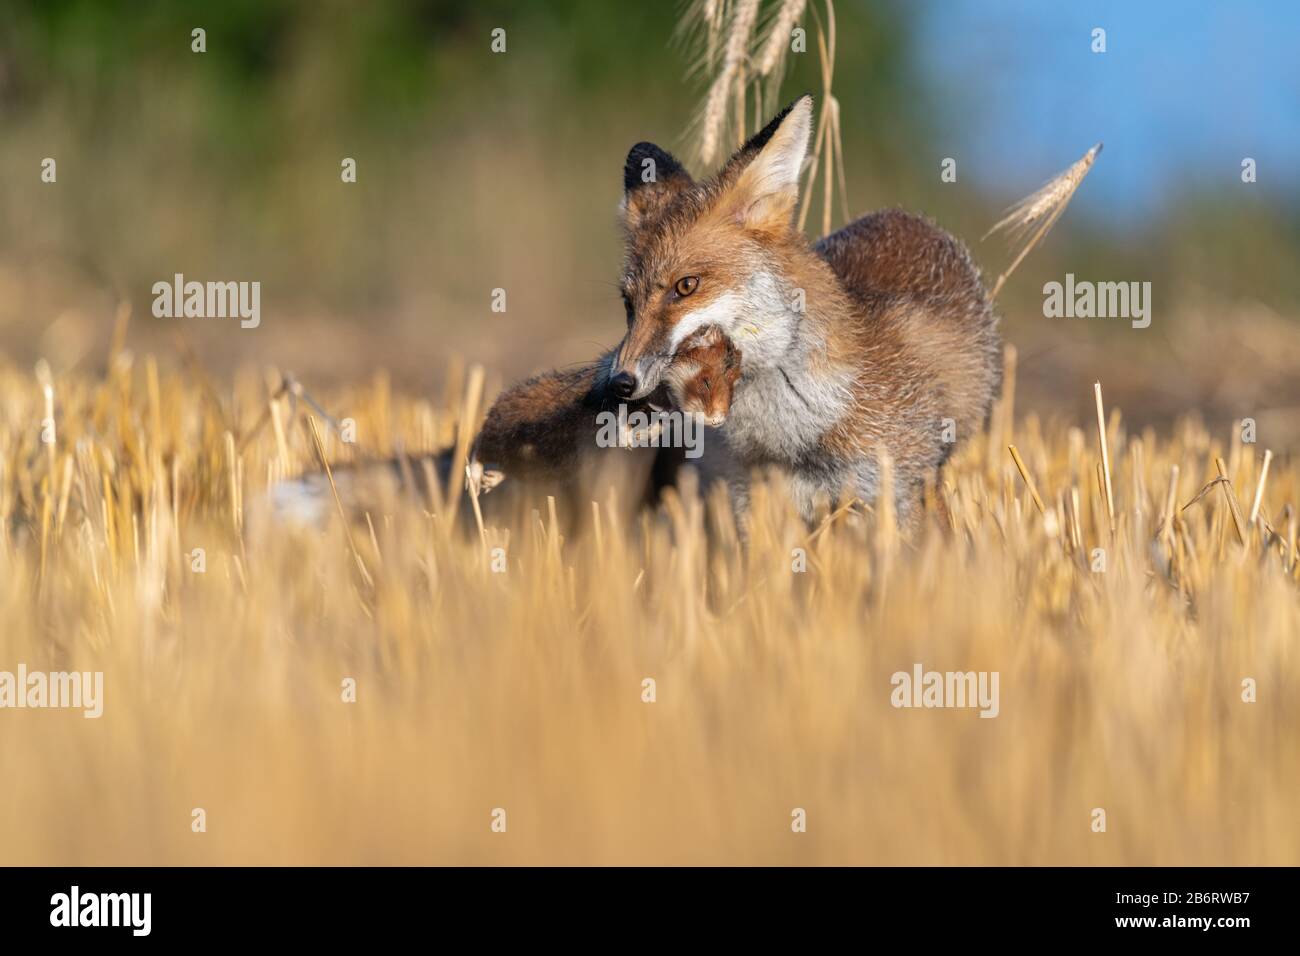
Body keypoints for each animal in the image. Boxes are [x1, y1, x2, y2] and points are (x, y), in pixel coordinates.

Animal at [609, 94, 1001, 524]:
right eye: (628, 304)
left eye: (686, 285)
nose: (621, 382)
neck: (785, 439)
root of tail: (901, 215)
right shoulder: (744, 501)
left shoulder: (896, 496)